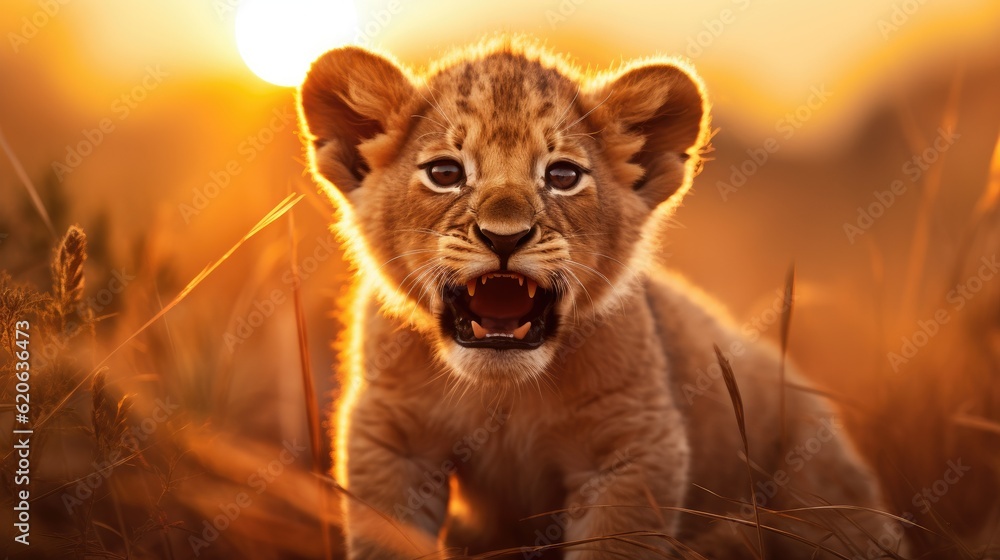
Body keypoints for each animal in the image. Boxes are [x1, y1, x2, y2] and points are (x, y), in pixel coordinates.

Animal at [298, 37, 906, 559]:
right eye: (445, 172)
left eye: (563, 175)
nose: (504, 237)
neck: (503, 395)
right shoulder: (392, 440)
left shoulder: (633, 452)